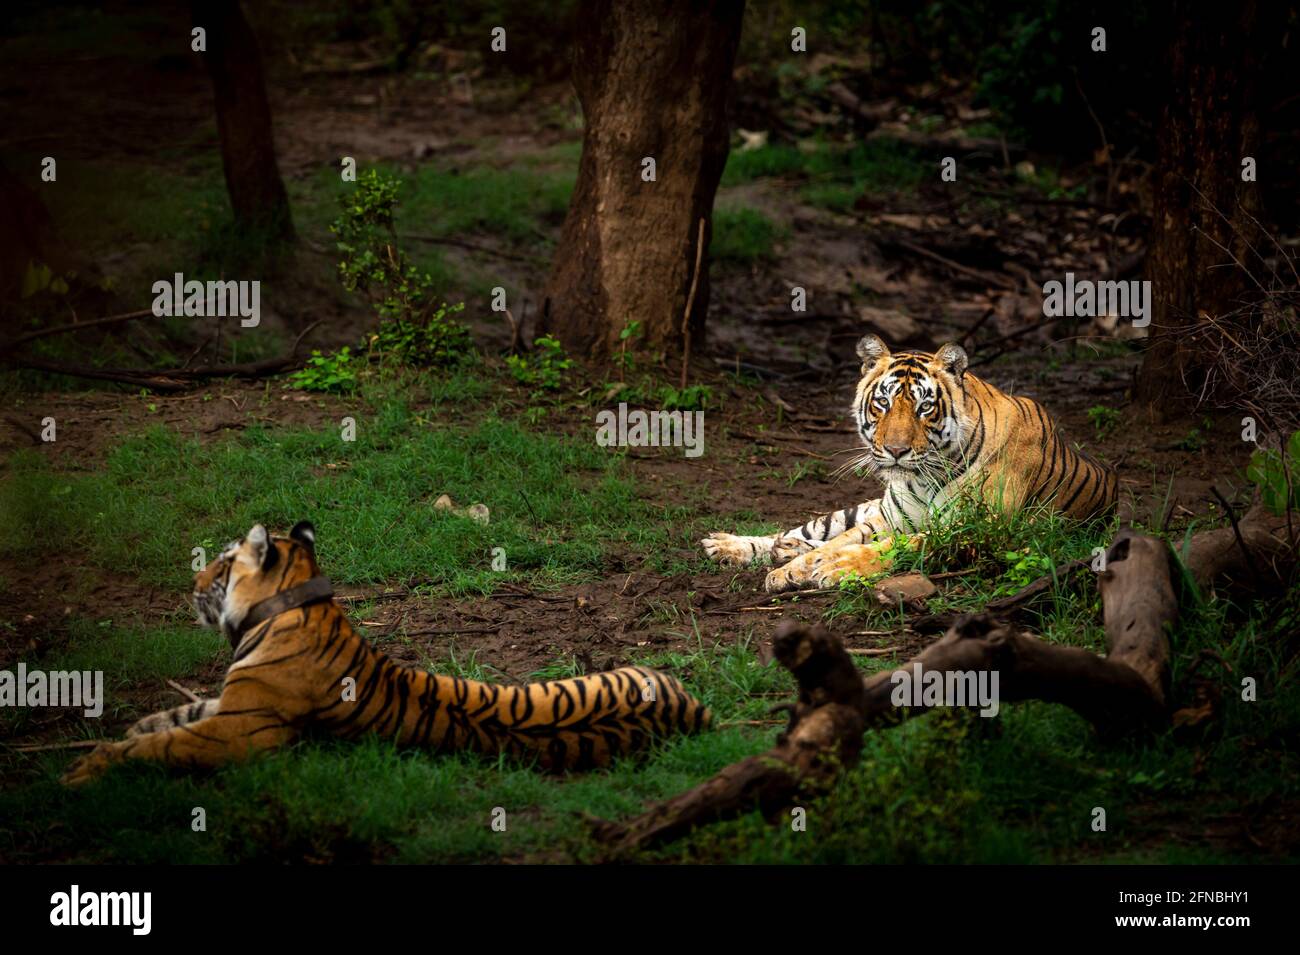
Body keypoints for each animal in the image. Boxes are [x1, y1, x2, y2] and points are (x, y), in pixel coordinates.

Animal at [61, 521, 710, 786]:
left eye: (221, 564)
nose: (191, 582)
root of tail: (695, 709)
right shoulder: (228, 703)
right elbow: (166, 717)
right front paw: (109, 739)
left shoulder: (240, 730)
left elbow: (162, 744)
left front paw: (84, 771)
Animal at [701, 334, 1117, 593]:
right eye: (883, 403)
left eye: (924, 407)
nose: (896, 450)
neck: (923, 477)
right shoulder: (890, 518)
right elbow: (839, 542)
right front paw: (791, 571)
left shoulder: (976, 529)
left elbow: (888, 548)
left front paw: (835, 569)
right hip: (863, 509)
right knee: (806, 530)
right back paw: (732, 545)